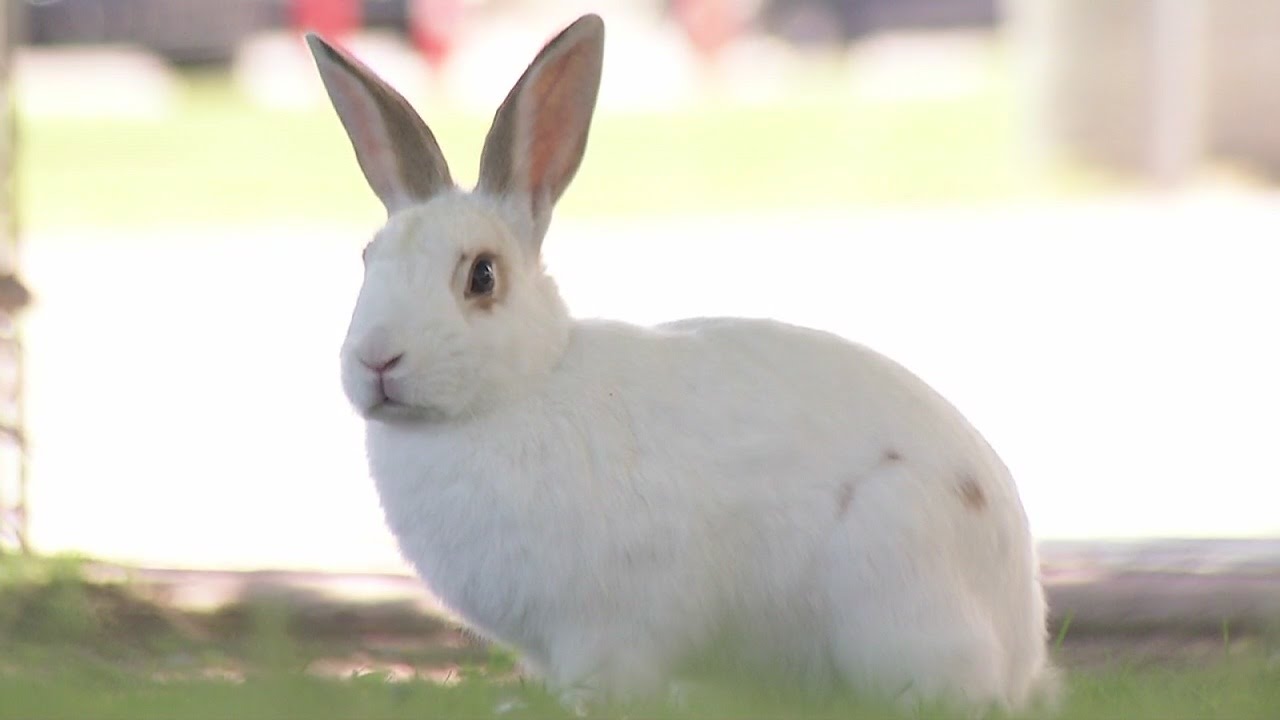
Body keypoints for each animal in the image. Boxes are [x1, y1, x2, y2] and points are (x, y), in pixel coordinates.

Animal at [305, 13, 1059, 717]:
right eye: (368, 260)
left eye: (482, 276)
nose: (377, 359)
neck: (523, 390)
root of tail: (1021, 638)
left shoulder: (604, 628)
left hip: (897, 562)